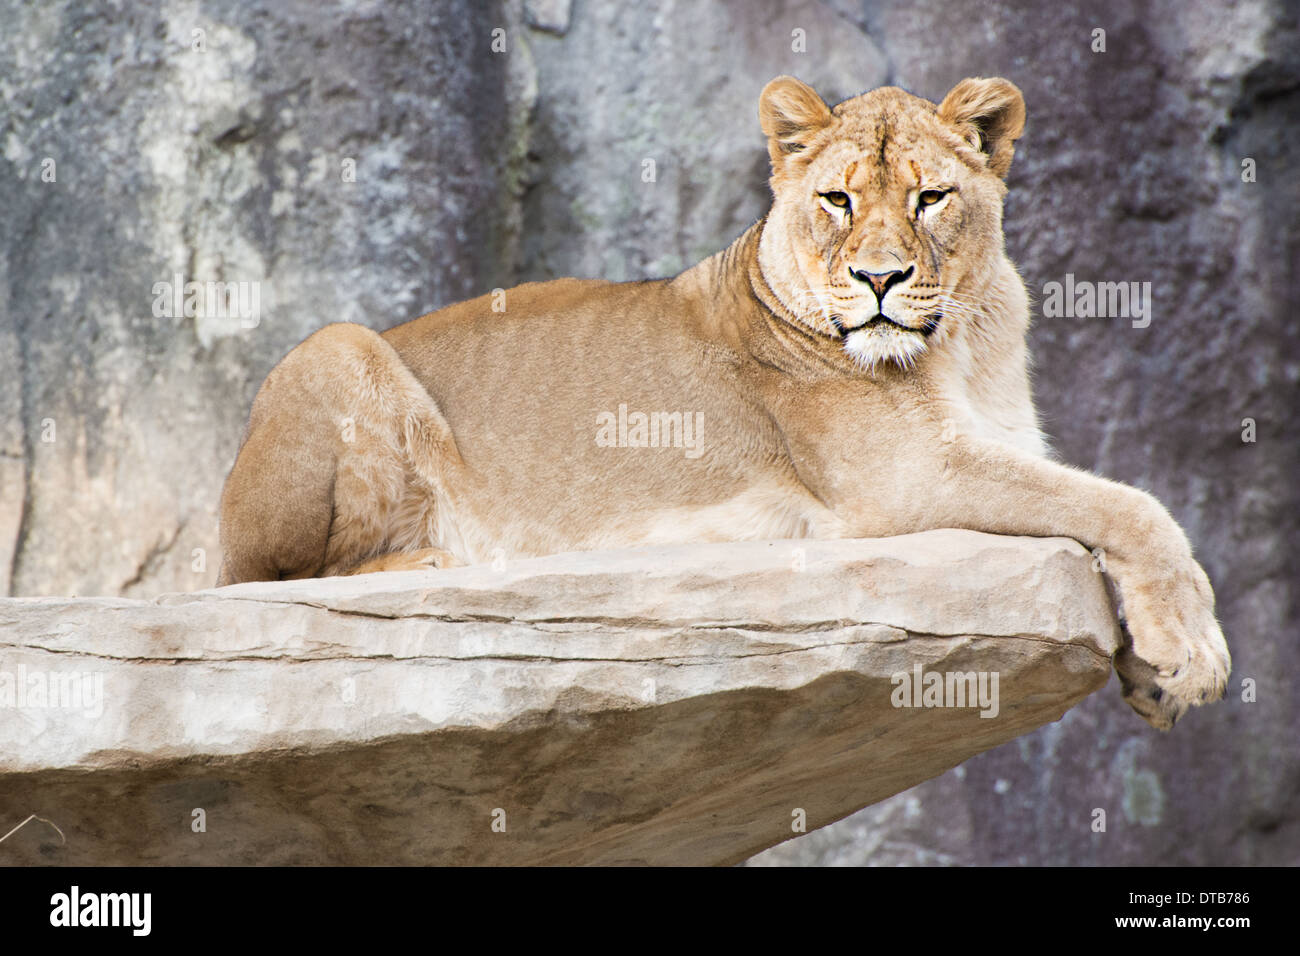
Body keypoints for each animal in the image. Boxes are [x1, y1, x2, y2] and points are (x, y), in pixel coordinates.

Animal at [217, 76, 1229, 730]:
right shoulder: (906, 481)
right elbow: (1130, 506)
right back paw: (434, 562)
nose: (879, 279)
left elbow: (1095, 508)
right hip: (335, 344)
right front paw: (1196, 650)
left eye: (932, 198)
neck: (963, 346)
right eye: (837, 199)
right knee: (259, 580)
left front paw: (1152, 670)